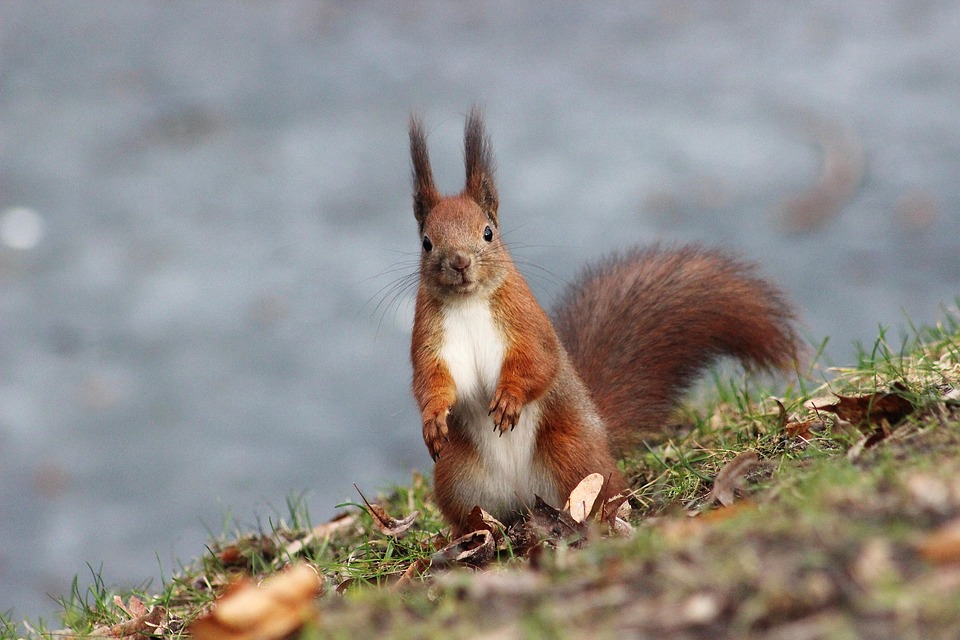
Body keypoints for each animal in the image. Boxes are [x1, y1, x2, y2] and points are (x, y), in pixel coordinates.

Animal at [408, 108, 800, 535]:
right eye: (426, 242)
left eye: (488, 232)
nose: (459, 262)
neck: (469, 303)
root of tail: (525, 499)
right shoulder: (430, 340)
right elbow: (431, 382)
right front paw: (432, 420)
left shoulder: (527, 323)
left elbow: (538, 363)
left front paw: (509, 398)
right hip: (458, 476)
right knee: (474, 514)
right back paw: (479, 532)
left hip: (571, 454)